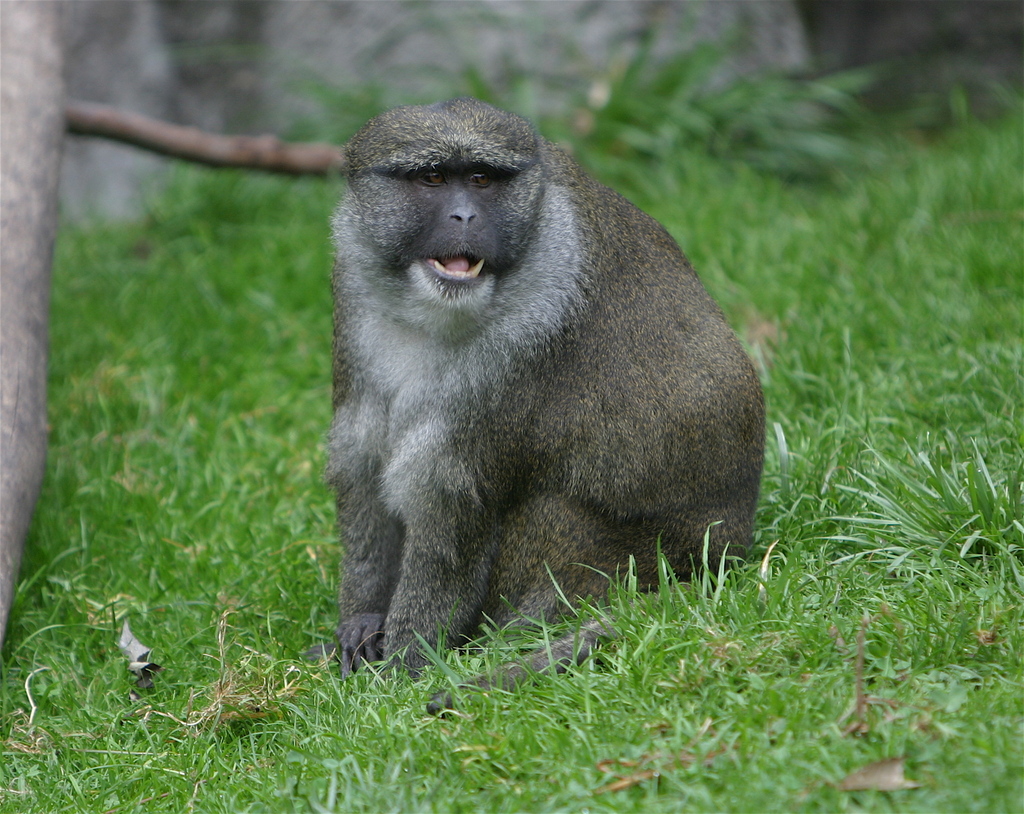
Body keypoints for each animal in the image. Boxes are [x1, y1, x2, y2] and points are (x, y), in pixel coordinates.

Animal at [322, 97, 764, 710]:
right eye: (432, 178)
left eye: (482, 179)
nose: (464, 217)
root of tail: (723, 556)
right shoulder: (353, 283)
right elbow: (362, 460)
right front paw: (362, 622)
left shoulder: (525, 338)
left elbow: (450, 503)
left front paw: (401, 671)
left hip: (632, 560)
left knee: (553, 512)